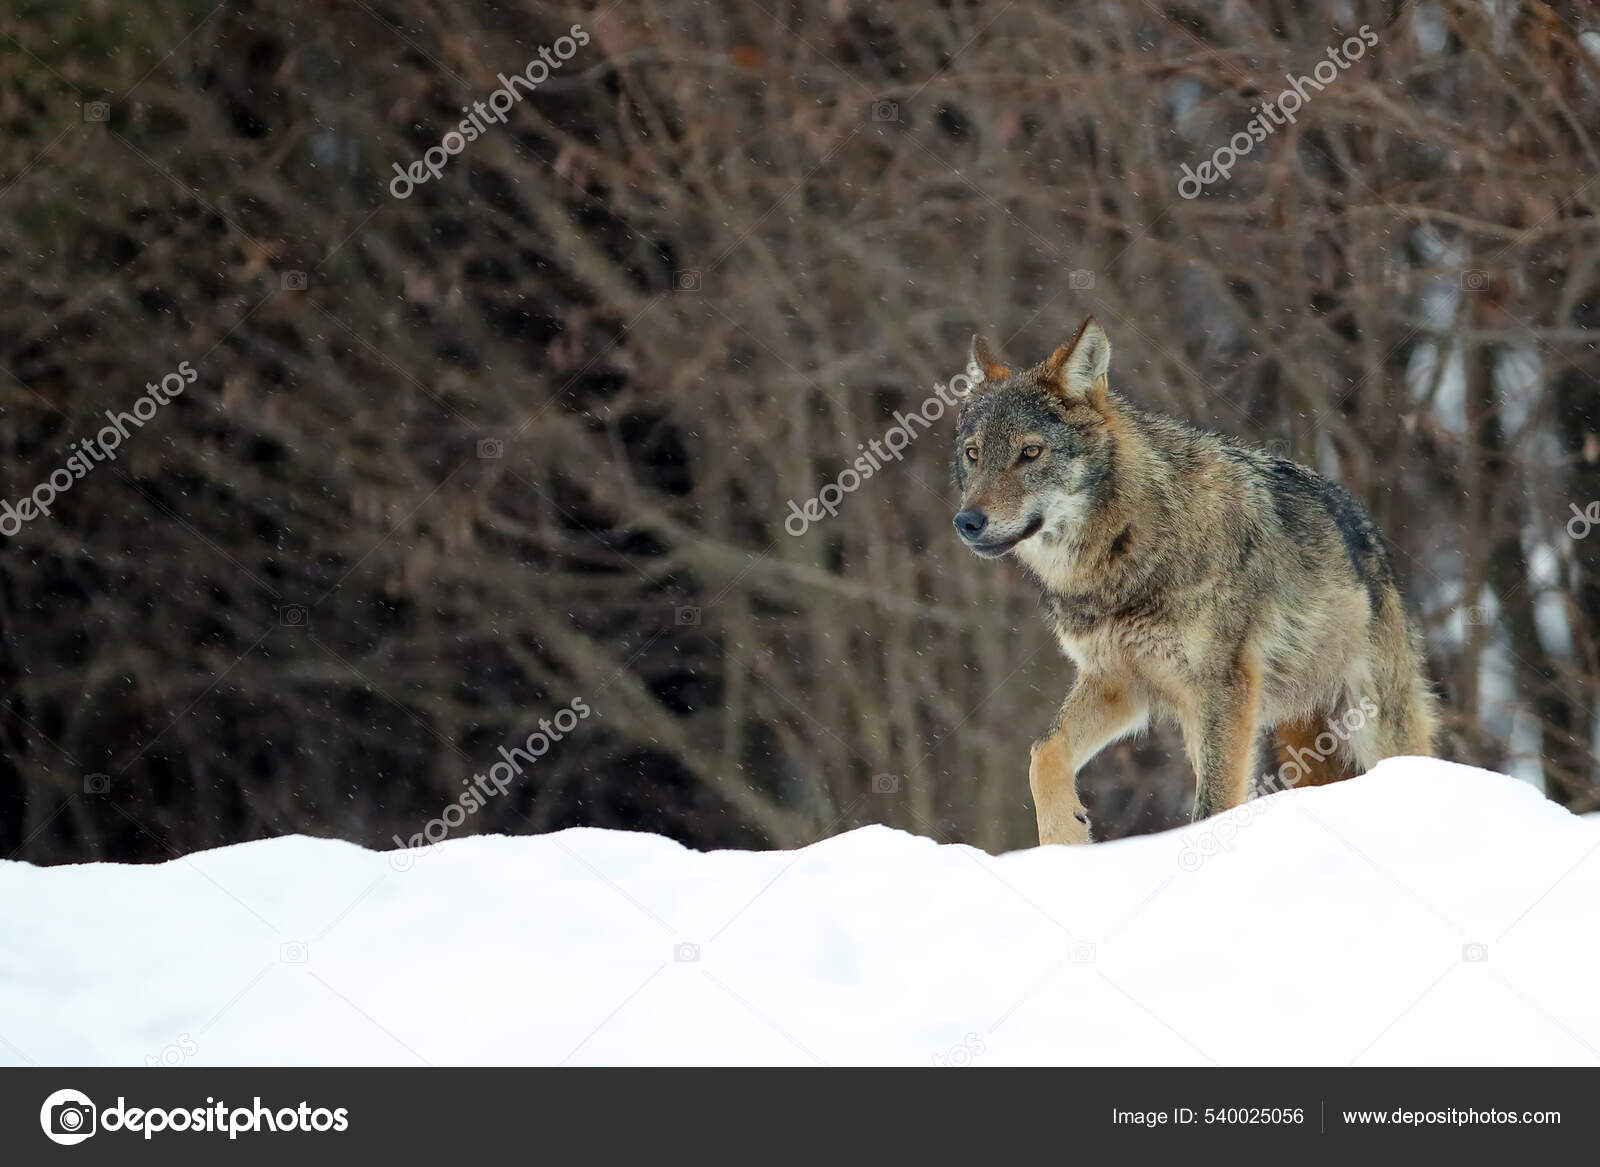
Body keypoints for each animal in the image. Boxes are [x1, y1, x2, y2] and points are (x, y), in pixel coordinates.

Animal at [951, 317, 1437, 844]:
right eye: (973, 454)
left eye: (1030, 452)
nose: (967, 521)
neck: (1123, 552)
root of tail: (1370, 534)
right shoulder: (1118, 681)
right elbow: (1043, 753)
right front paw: (1066, 842)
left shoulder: (1223, 688)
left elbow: (1213, 804)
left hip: (1370, 718)